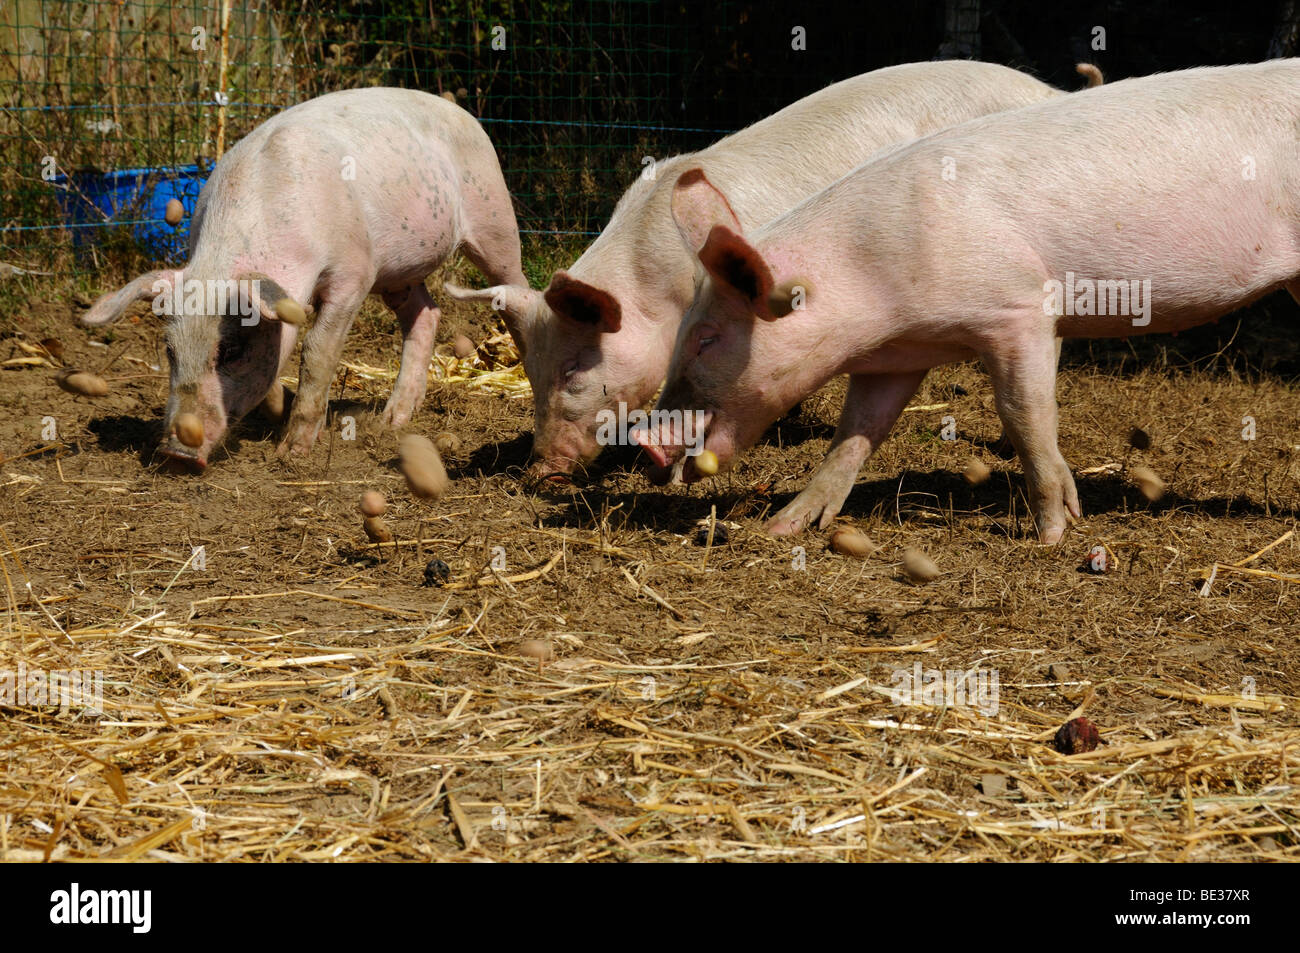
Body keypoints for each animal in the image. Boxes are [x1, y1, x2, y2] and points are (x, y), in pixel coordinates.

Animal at [81, 88, 525, 469]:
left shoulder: (354, 271)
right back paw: (392, 420)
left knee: (513, 287)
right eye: (170, 352)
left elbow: (316, 351)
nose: (176, 454)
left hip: (493, 215)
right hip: (398, 271)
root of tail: (453, 106)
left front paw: (290, 453)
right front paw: (276, 407)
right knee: (427, 313)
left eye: (230, 351)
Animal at [636, 60, 1300, 546]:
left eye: (706, 339)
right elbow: (856, 433)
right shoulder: (897, 356)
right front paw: (785, 526)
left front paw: (1054, 534)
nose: (642, 443)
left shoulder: (1019, 312)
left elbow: (1026, 416)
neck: (873, 288)